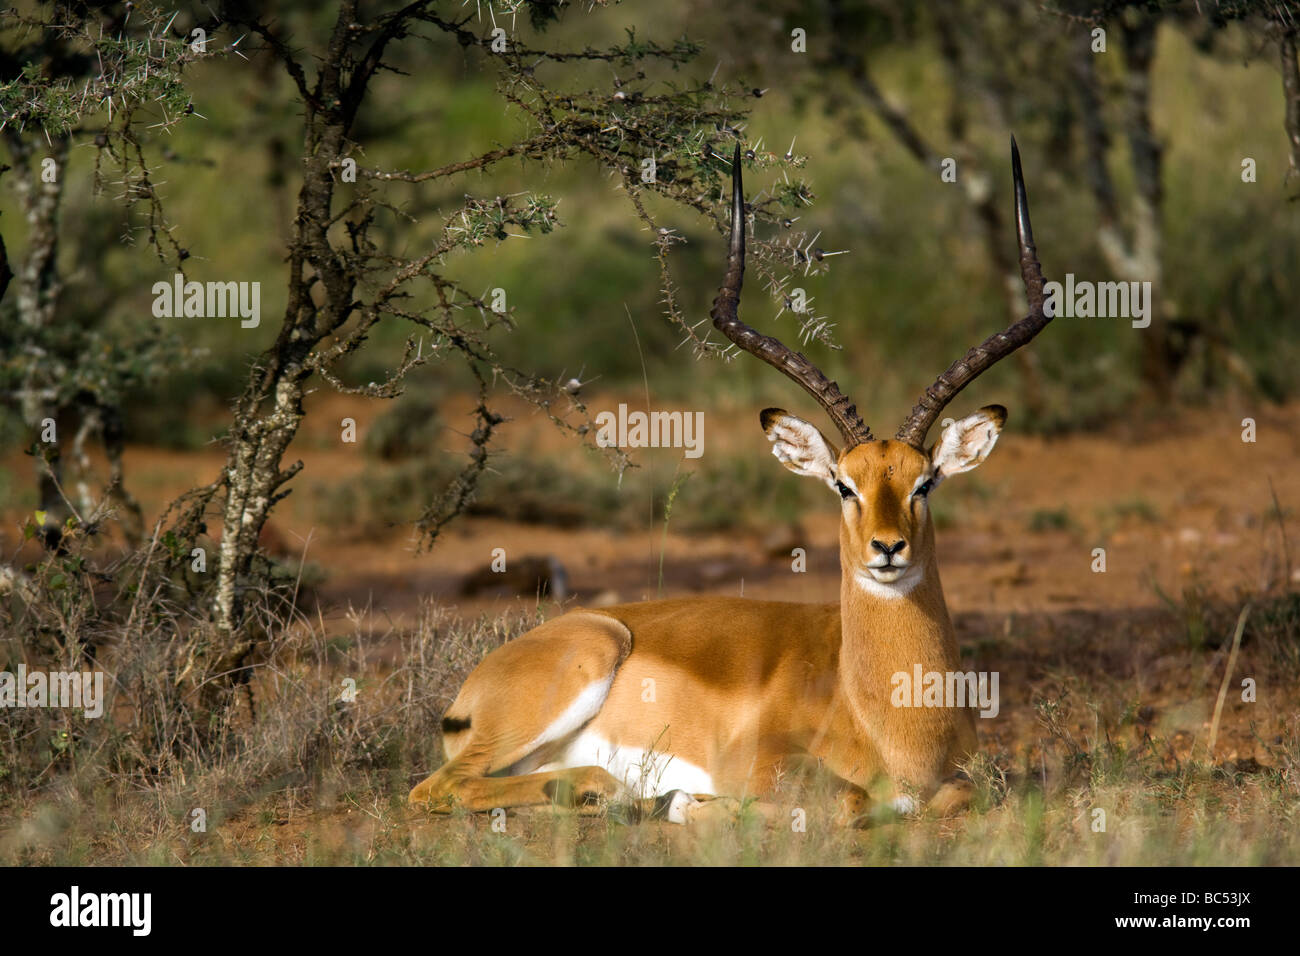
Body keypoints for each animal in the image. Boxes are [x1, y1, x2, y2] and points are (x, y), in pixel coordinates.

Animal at [409, 139, 1051, 824]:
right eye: (843, 486)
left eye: (924, 484)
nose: (887, 548)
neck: (889, 717)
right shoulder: (758, 762)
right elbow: (846, 801)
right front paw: (683, 802)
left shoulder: (961, 780)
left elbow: (951, 795)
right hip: (578, 668)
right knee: (435, 787)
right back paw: (619, 792)